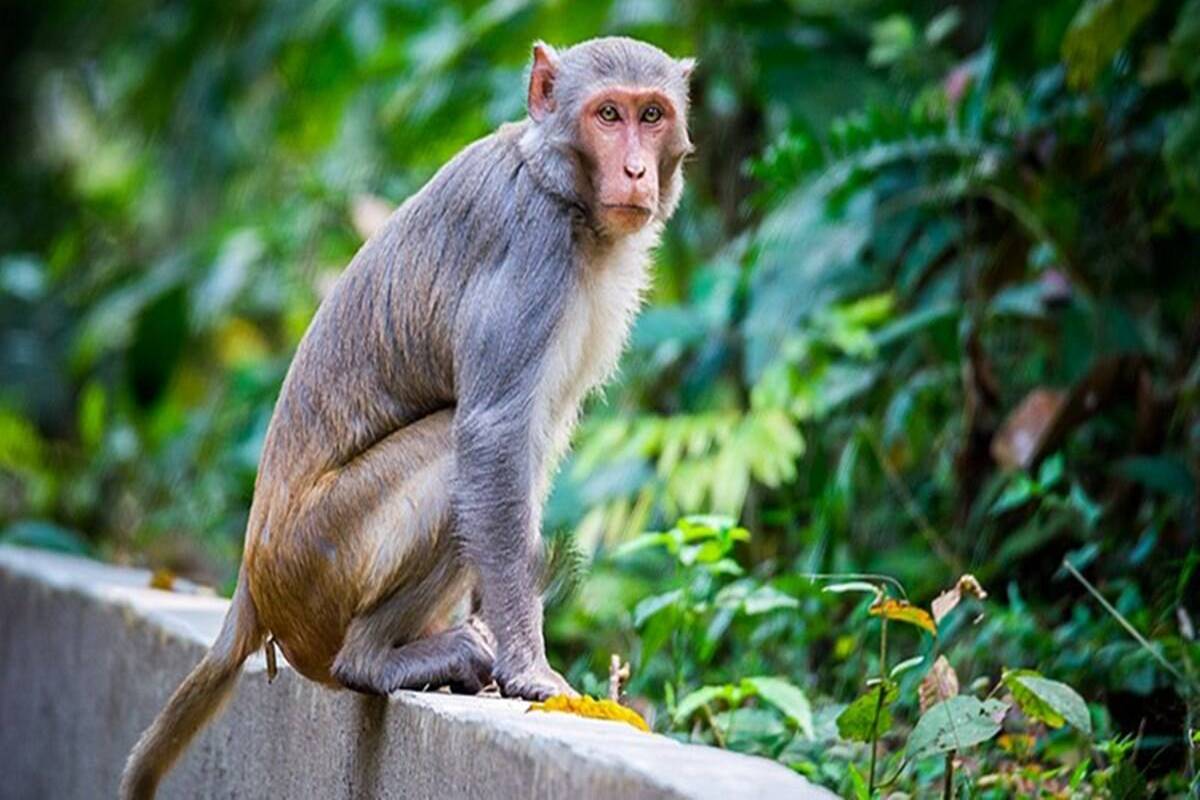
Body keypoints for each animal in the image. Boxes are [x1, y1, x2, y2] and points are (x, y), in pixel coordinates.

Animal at [119, 36, 694, 799]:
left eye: (651, 115)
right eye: (608, 115)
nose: (634, 170)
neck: (560, 191)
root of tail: (251, 582)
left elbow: (533, 444)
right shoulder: (533, 251)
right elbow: (493, 435)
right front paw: (528, 666)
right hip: (321, 564)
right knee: (450, 451)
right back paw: (373, 660)